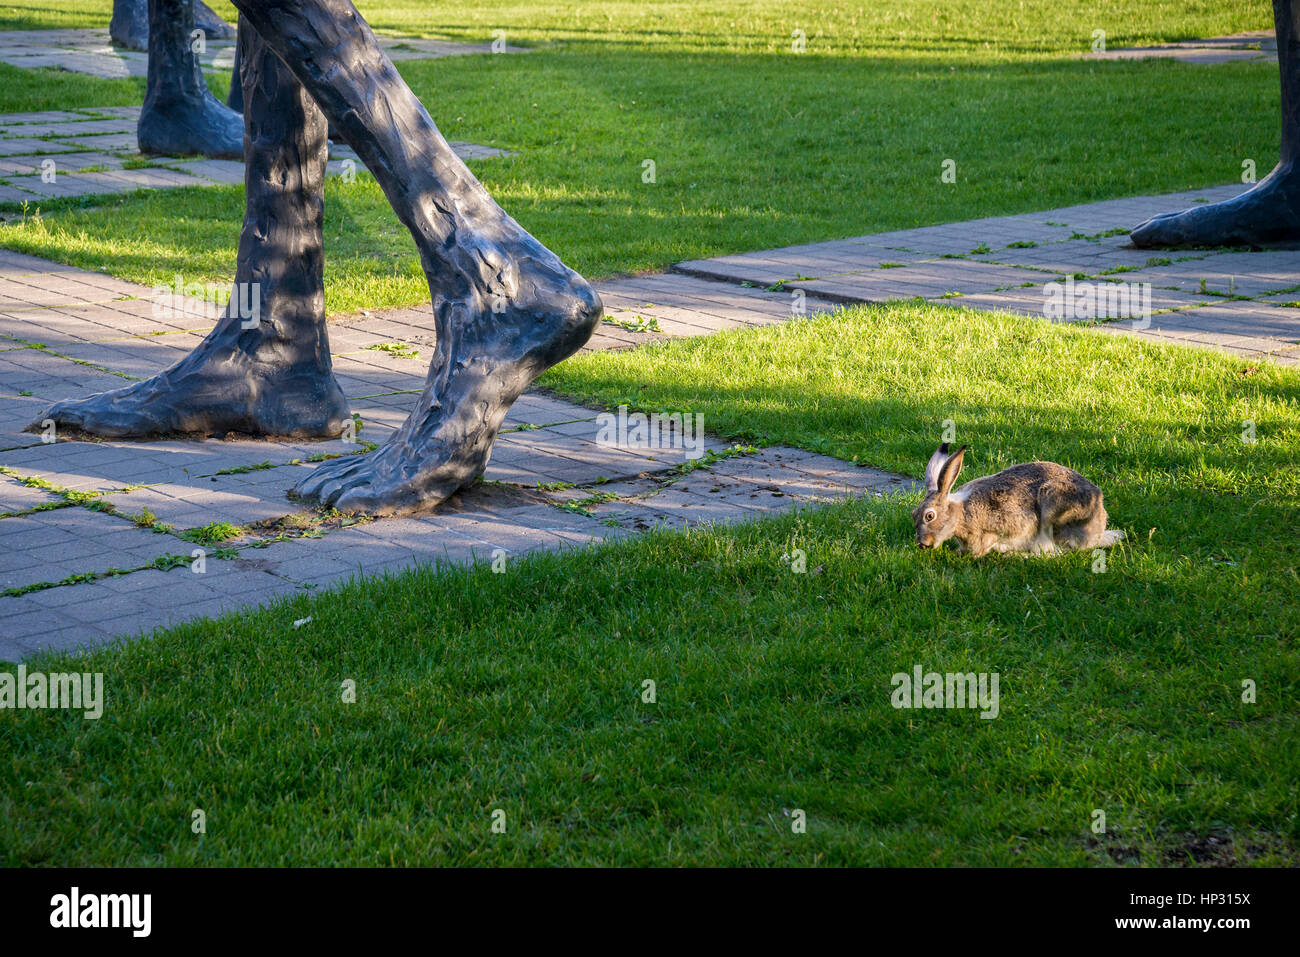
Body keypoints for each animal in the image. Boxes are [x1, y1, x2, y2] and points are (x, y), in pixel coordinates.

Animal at [912, 443, 1124, 557]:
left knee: (1052, 553)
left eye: (929, 516)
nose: (922, 544)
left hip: (1053, 510)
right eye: (913, 514)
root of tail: (1098, 529)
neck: (961, 514)